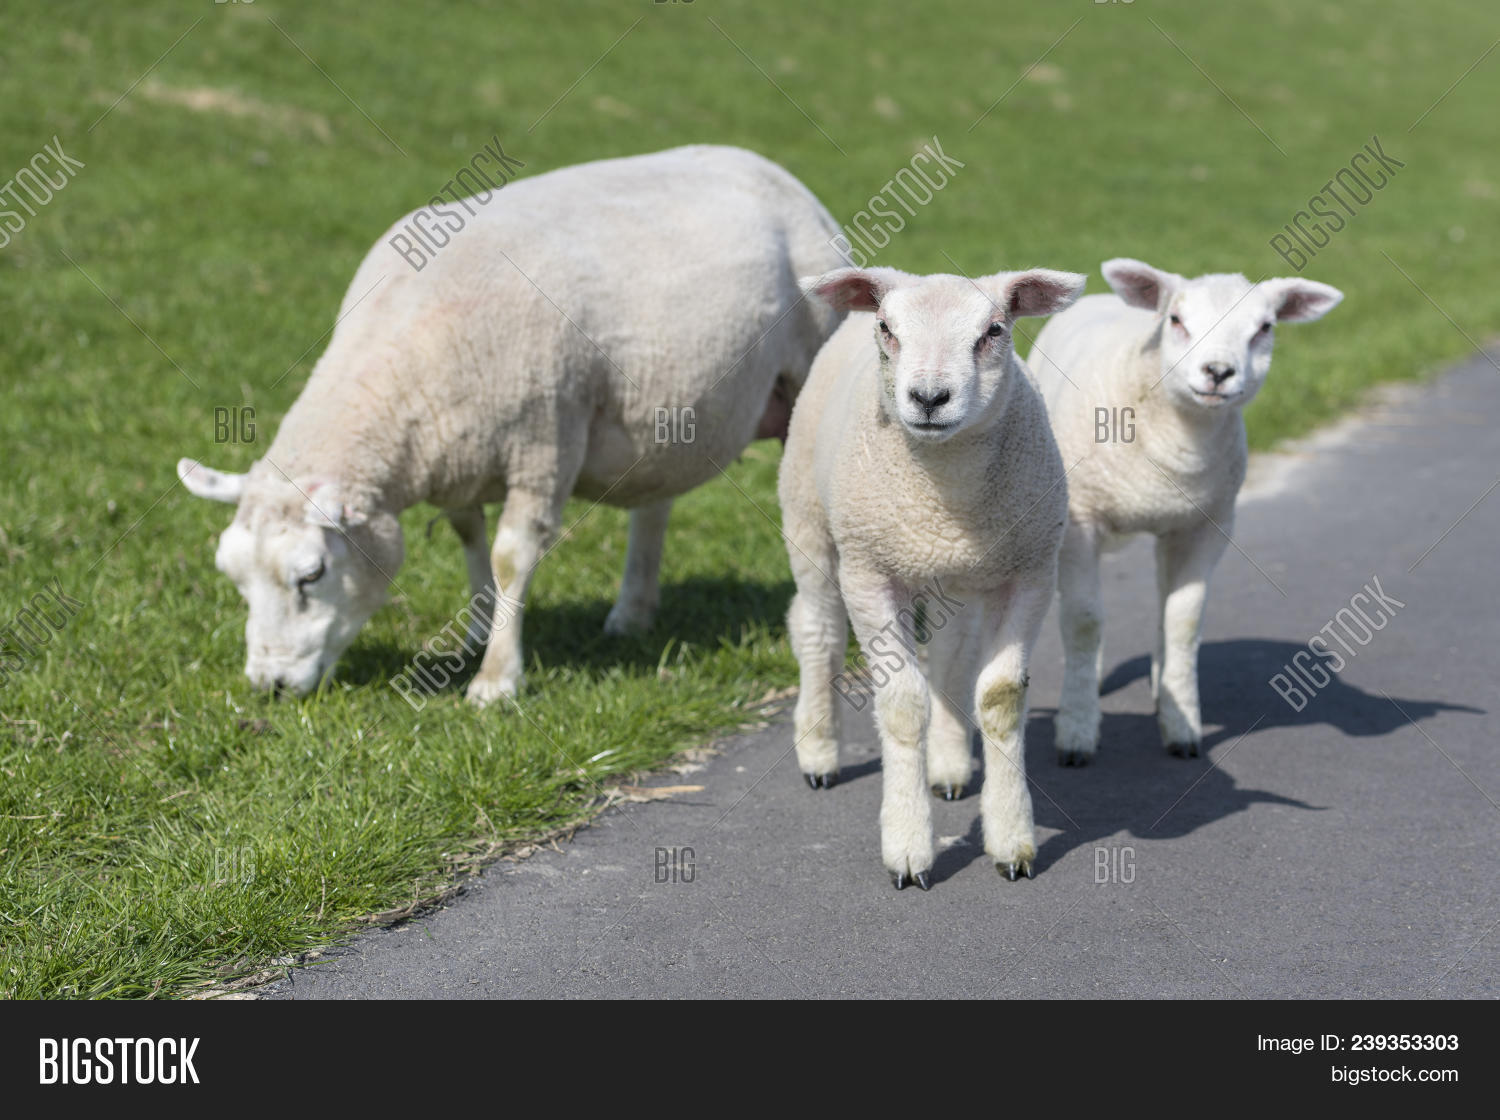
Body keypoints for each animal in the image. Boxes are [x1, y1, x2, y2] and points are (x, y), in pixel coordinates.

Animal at [177, 145, 845, 704]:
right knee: (655, 505)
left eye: (311, 575)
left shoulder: (543, 443)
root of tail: (771, 168)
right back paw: (632, 613)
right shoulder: (459, 451)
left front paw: (496, 679)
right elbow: (468, 536)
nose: (270, 687)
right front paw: (476, 630)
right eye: (232, 576)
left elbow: (509, 556)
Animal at [780, 264, 1086, 888]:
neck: (944, 493)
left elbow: (998, 696)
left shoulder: (1031, 572)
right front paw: (906, 848)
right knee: (818, 633)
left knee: (950, 658)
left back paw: (948, 767)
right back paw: (819, 752)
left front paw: (1011, 840)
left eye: (994, 330)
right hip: (809, 521)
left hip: (960, 578)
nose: (928, 398)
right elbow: (901, 703)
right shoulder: (870, 574)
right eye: (887, 328)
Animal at [1028, 258, 1343, 764]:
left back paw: (1162, 690)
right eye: (1176, 320)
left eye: (1265, 327)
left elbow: (1184, 620)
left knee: (1162, 599)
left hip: (1172, 525)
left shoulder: (1205, 527)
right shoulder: (1081, 522)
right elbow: (1084, 619)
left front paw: (1182, 726)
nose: (1218, 371)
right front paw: (1076, 729)